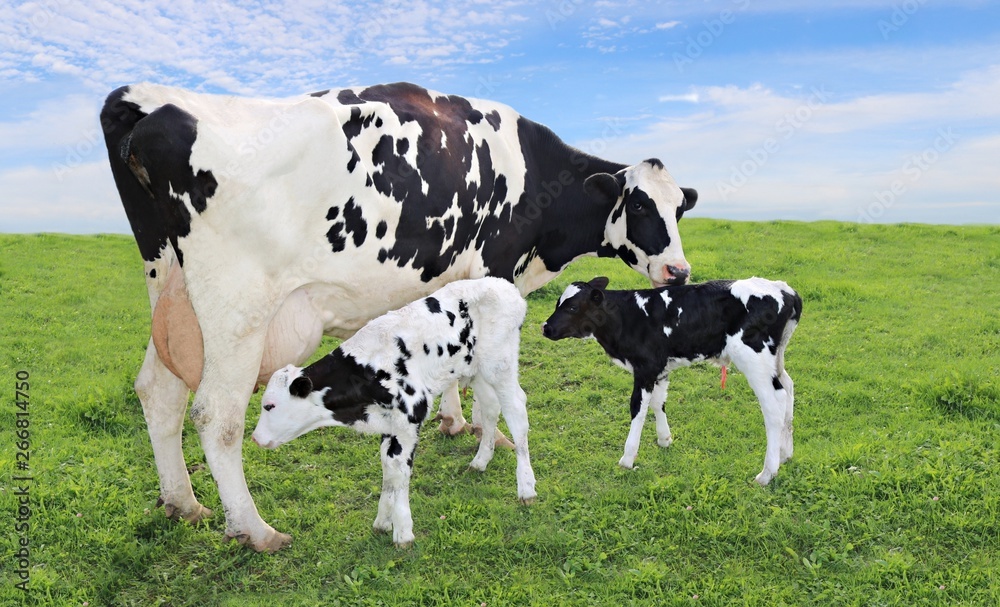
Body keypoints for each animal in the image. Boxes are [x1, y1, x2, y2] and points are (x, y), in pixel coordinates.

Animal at [250, 277, 535, 547]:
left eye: (270, 405)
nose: (254, 438)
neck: (366, 372)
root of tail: (505, 286)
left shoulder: (410, 420)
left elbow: (399, 471)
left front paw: (403, 532)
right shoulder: (389, 426)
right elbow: (388, 469)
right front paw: (383, 521)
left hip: (500, 366)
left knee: (516, 412)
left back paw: (526, 487)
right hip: (477, 372)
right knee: (490, 408)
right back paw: (481, 461)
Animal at [542, 277, 802, 485]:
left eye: (572, 306)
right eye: (557, 303)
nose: (546, 327)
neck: (627, 317)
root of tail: (784, 289)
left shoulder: (644, 368)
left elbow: (638, 408)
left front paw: (627, 458)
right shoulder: (659, 367)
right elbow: (658, 402)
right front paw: (664, 439)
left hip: (753, 358)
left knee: (773, 405)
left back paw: (767, 473)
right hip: (775, 358)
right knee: (788, 387)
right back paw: (785, 453)